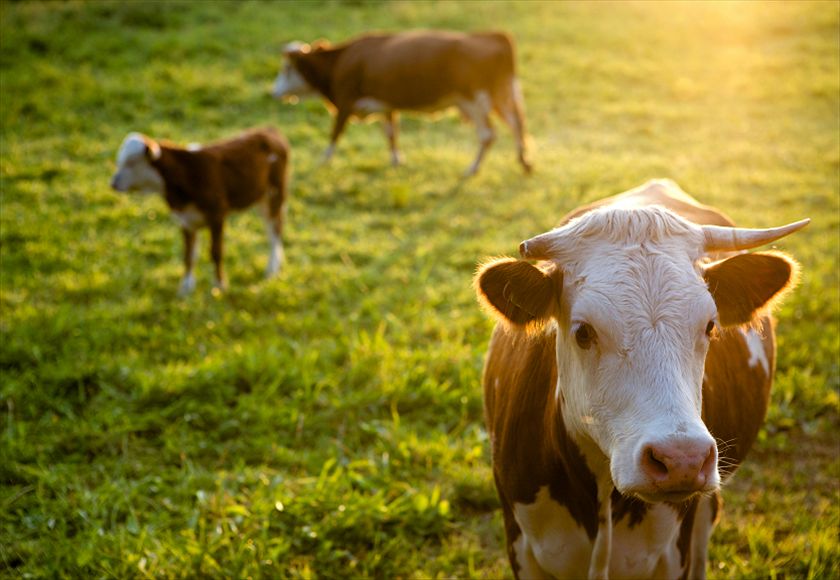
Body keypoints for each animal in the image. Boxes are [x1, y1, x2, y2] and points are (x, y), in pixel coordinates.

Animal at [110, 128, 290, 296]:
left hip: (274, 195)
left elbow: (216, 252)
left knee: (274, 231)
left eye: (131, 163)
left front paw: (219, 285)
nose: (112, 183)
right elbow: (188, 255)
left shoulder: (217, 215)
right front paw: (185, 287)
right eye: (119, 161)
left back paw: (272, 268)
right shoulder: (186, 221)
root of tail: (268, 130)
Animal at [271, 30, 531, 176]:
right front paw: (397, 161)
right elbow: (391, 133)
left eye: (286, 68)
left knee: (488, 134)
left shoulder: (345, 102)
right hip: (499, 96)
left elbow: (335, 134)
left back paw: (472, 170)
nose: (274, 92)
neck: (341, 61)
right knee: (516, 125)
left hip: (475, 100)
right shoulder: (387, 106)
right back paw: (524, 162)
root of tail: (492, 36)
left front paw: (323, 162)